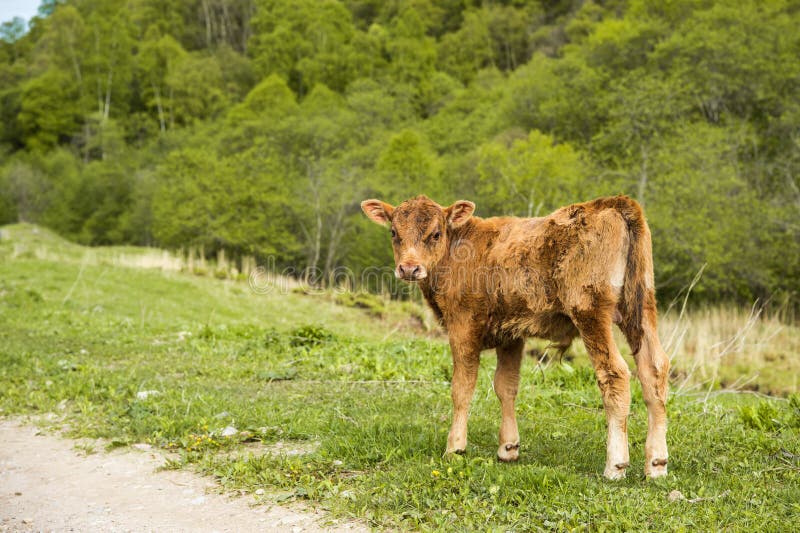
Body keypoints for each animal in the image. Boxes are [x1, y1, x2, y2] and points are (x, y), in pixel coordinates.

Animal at [361, 194, 670, 479]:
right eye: (394, 232)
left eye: (435, 233)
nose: (409, 268)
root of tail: (611, 202)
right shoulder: (511, 333)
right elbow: (506, 386)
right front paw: (508, 447)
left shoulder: (463, 325)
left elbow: (462, 387)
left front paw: (455, 448)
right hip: (642, 307)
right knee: (654, 369)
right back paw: (656, 463)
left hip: (591, 311)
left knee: (615, 373)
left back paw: (616, 464)